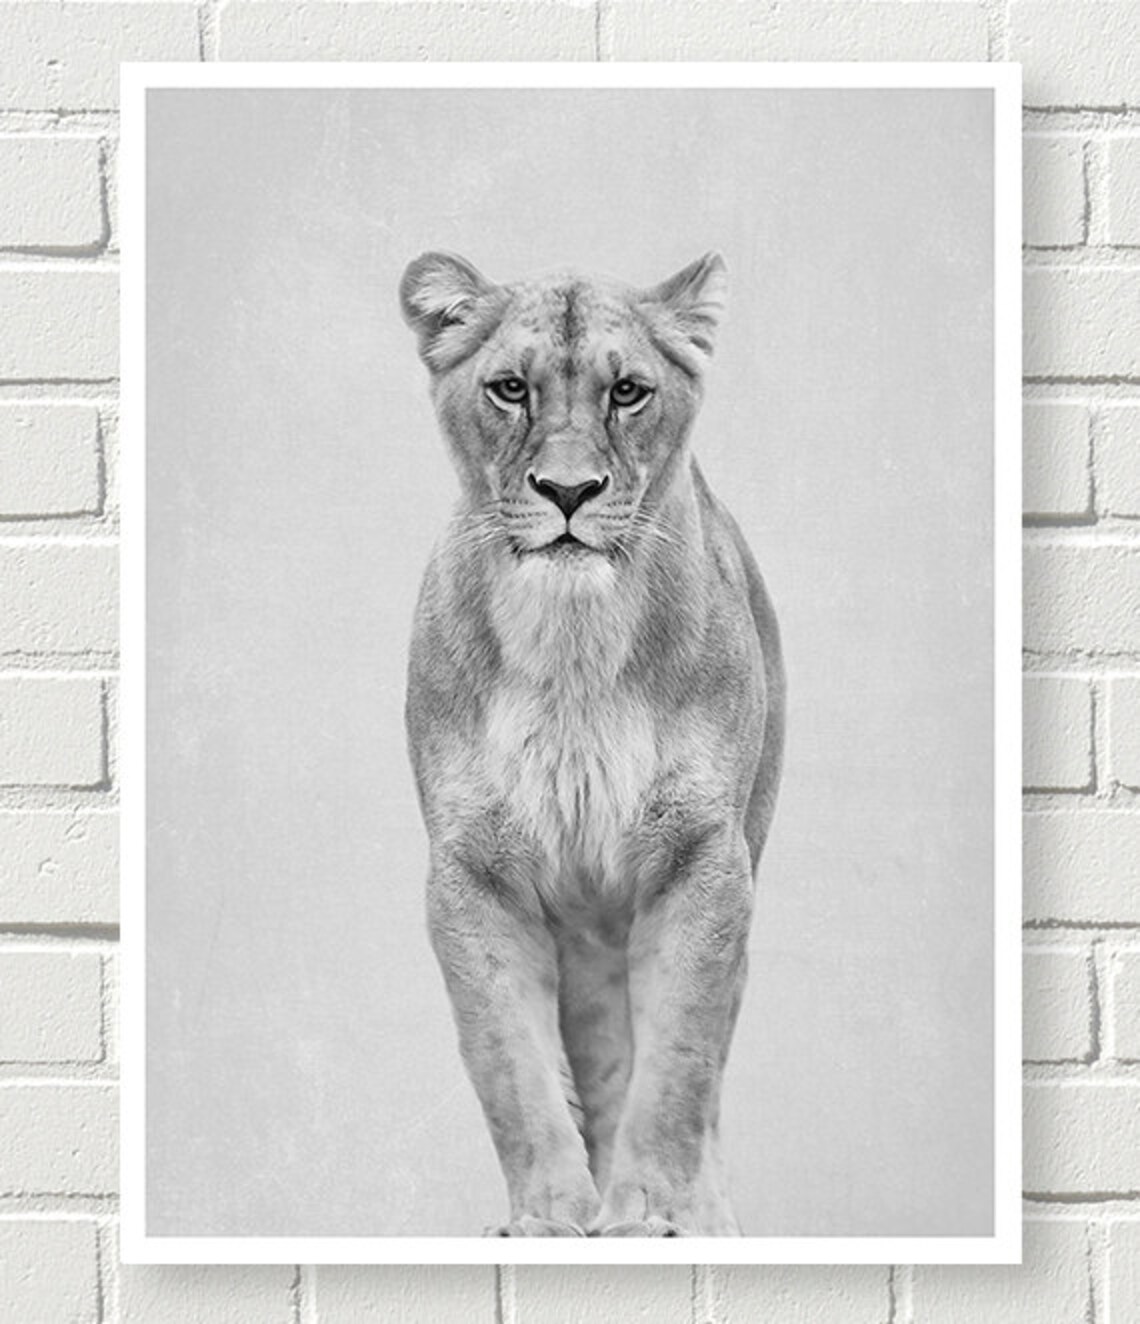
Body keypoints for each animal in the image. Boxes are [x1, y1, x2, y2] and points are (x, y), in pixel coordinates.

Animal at [400, 251, 784, 1237]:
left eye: (628, 391)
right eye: (509, 389)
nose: (568, 493)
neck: (572, 646)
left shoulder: (704, 857)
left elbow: (680, 1062)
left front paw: (655, 1211)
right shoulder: (472, 870)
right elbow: (510, 1065)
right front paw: (546, 1217)